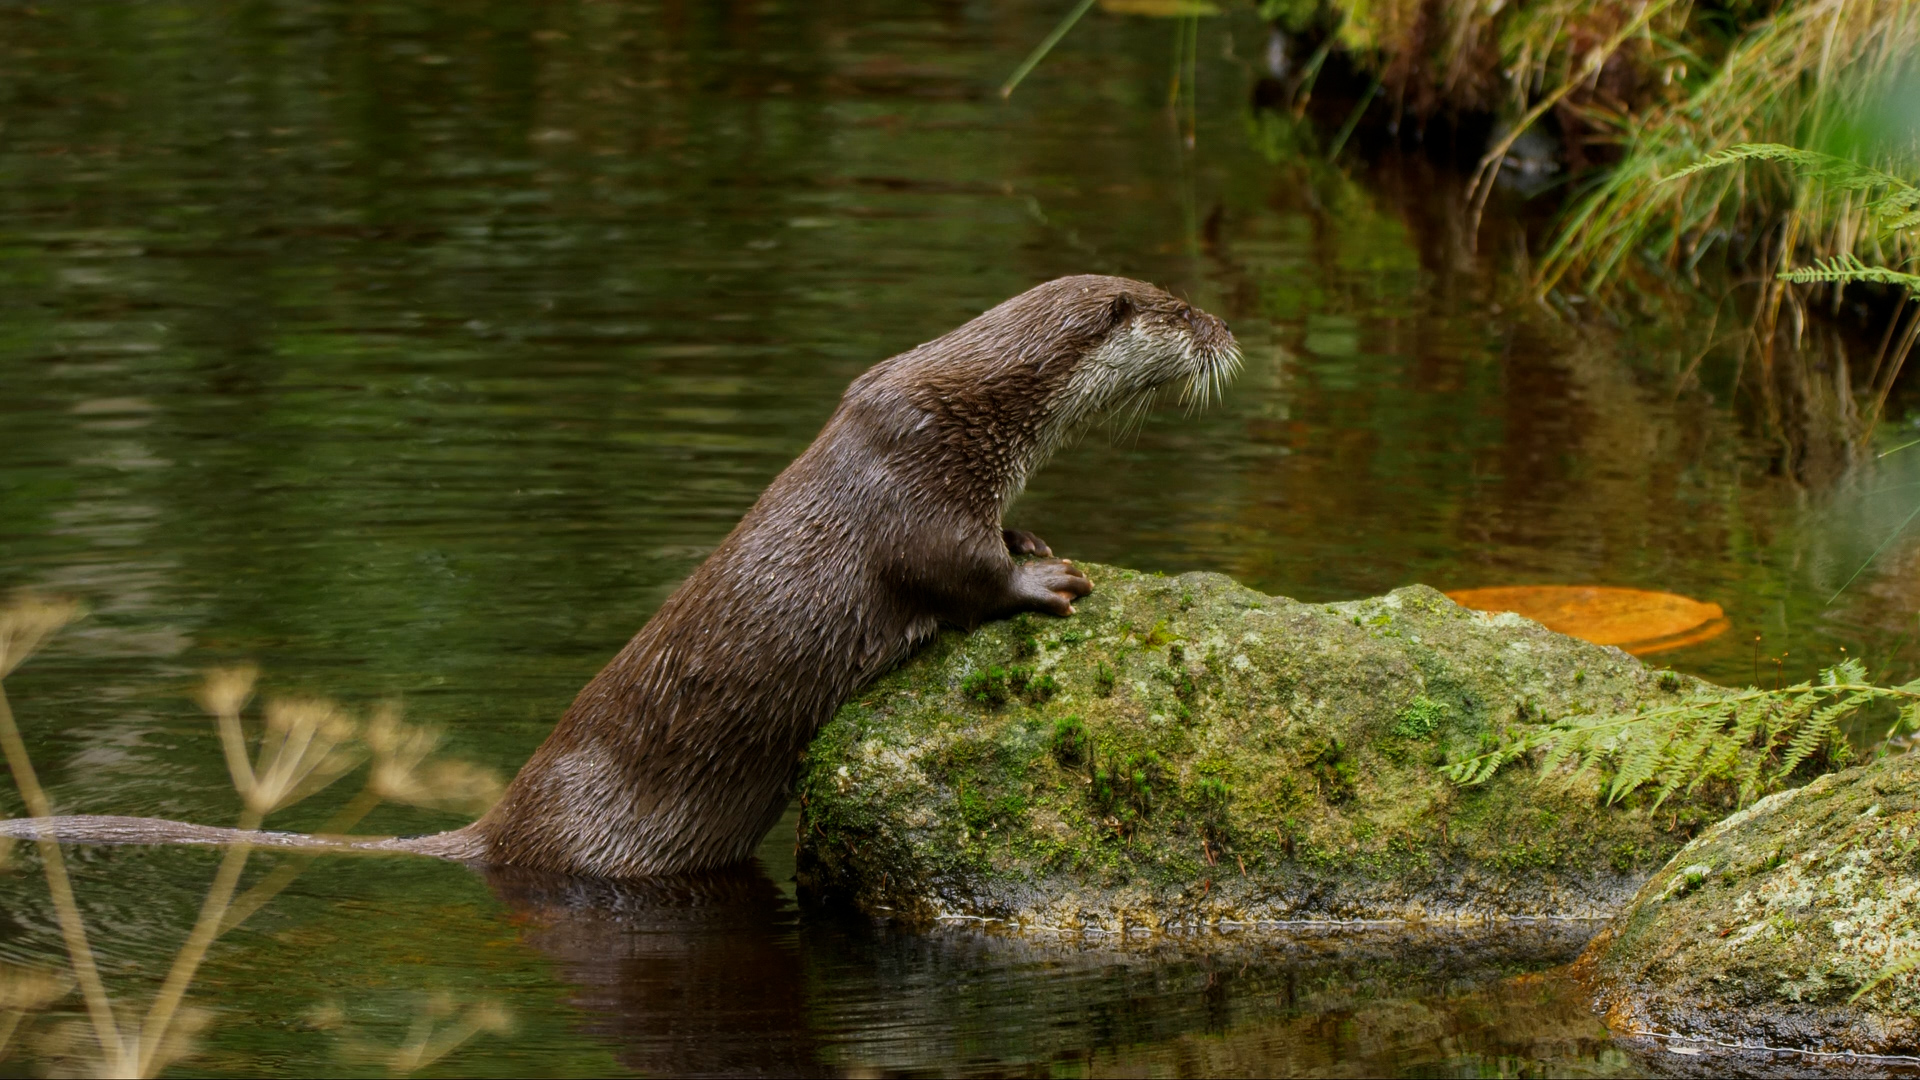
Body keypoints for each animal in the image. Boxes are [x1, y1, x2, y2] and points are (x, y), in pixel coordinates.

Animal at [4, 275, 1238, 877]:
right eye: (1182, 308)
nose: (1231, 329)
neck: (977, 412)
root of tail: (499, 831)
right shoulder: (915, 483)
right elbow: (953, 568)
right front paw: (1048, 580)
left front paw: (1037, 539)